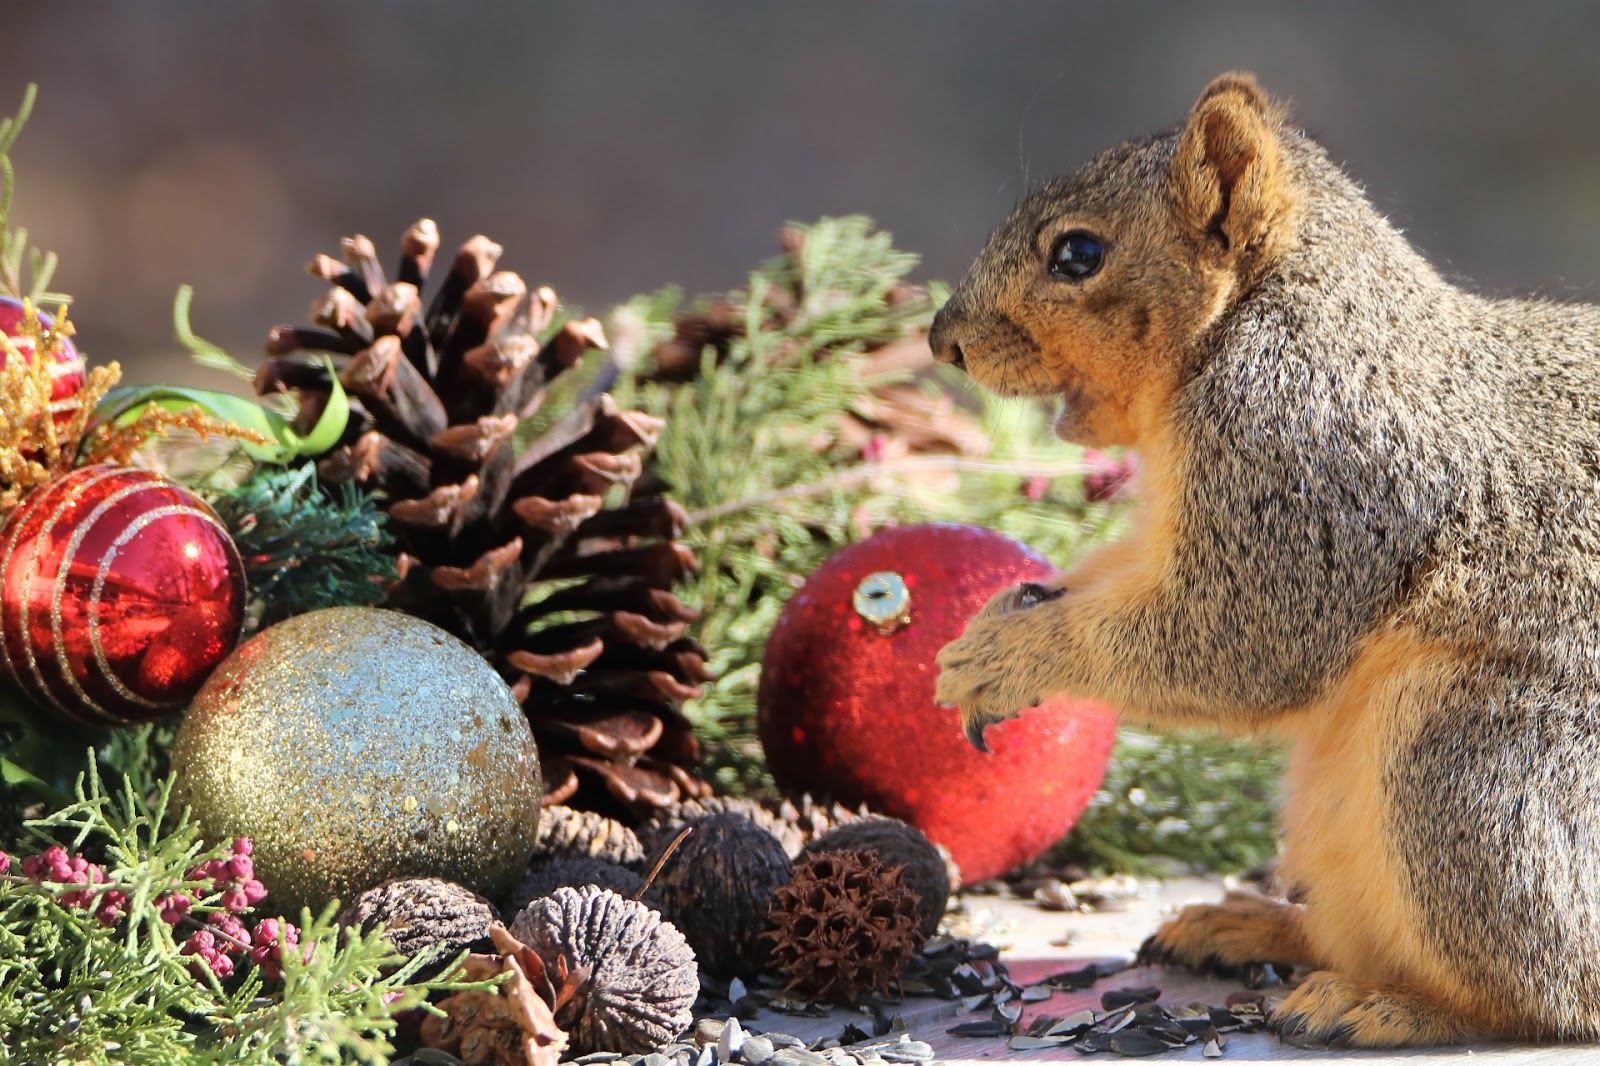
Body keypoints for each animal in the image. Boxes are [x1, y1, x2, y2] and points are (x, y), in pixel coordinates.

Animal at [929, 71, 1600, 1048]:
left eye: (1078, 254)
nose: (942, 340)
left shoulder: (1308, 463)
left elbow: (1241, 641)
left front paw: (1013, 657)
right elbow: (1120, 575)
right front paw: (998, 619)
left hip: (1471, 766)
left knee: (1548, 989)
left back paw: (1390, 1004)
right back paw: (1254, 926)